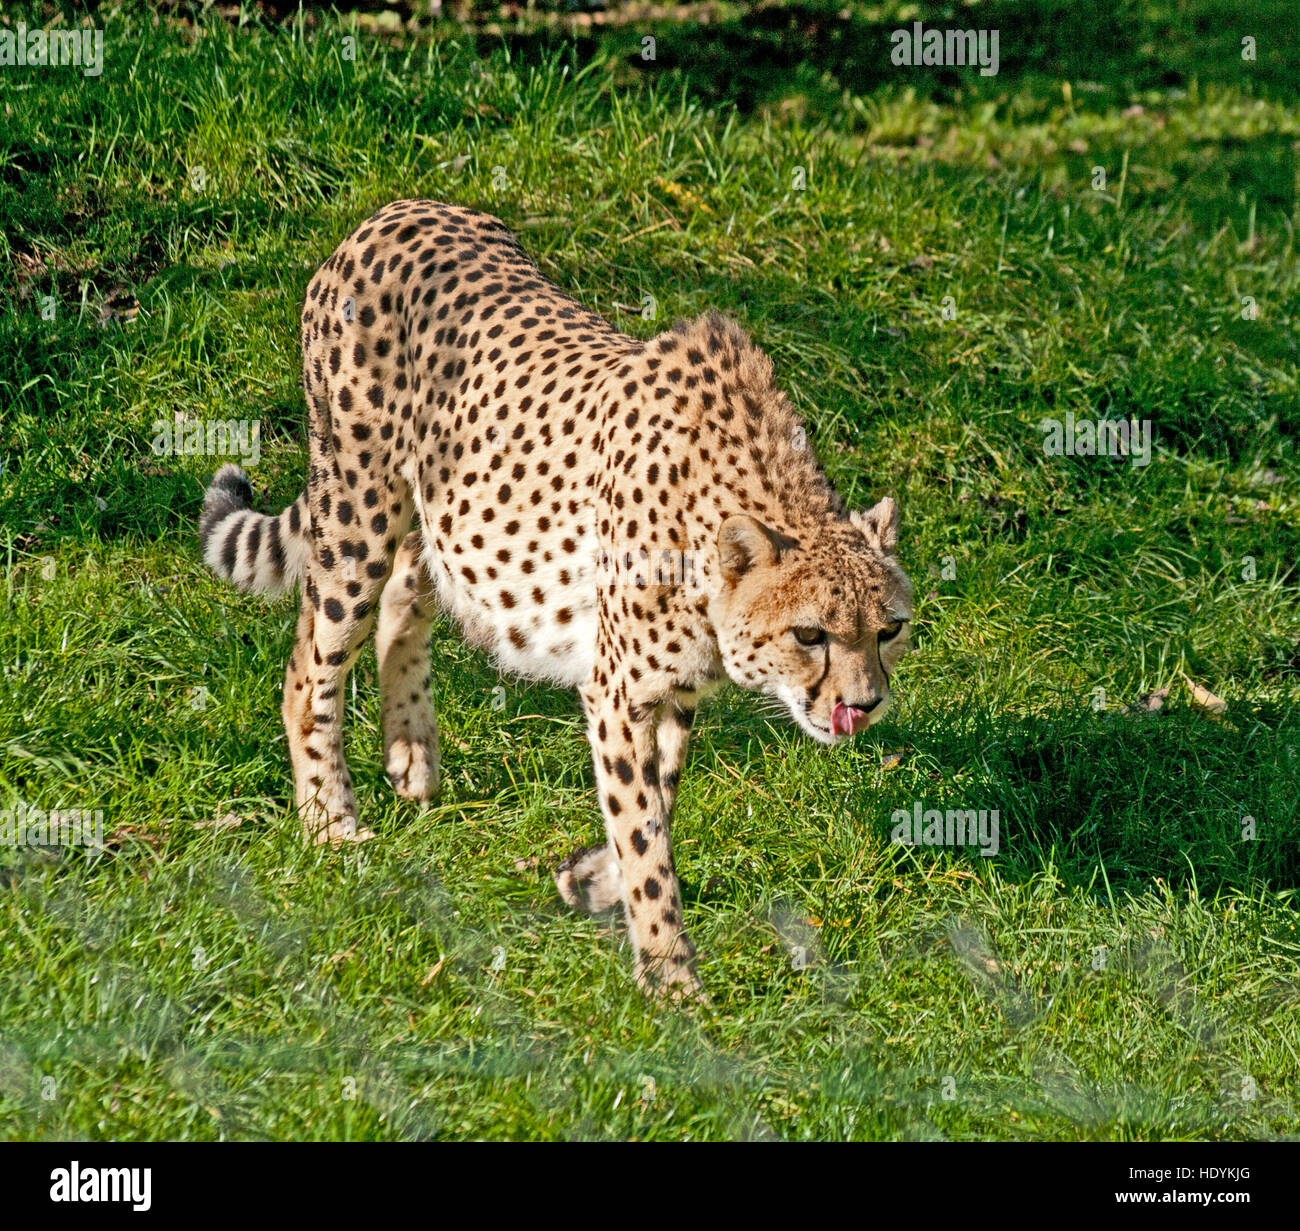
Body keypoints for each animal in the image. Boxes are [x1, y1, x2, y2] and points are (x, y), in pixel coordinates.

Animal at [199, 199, 913, 999]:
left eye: (889, 630)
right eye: (810, 635)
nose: (864, 704)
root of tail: (398, 209)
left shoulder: (675, 689)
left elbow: (660, 795)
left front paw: (593, 881)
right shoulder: (618, 688)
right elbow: (644, 829)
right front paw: (670, 974)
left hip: (448, 510)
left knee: (408, 592)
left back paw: (412, 754)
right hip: (360, 506)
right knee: (309, 667)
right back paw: (330, 823)